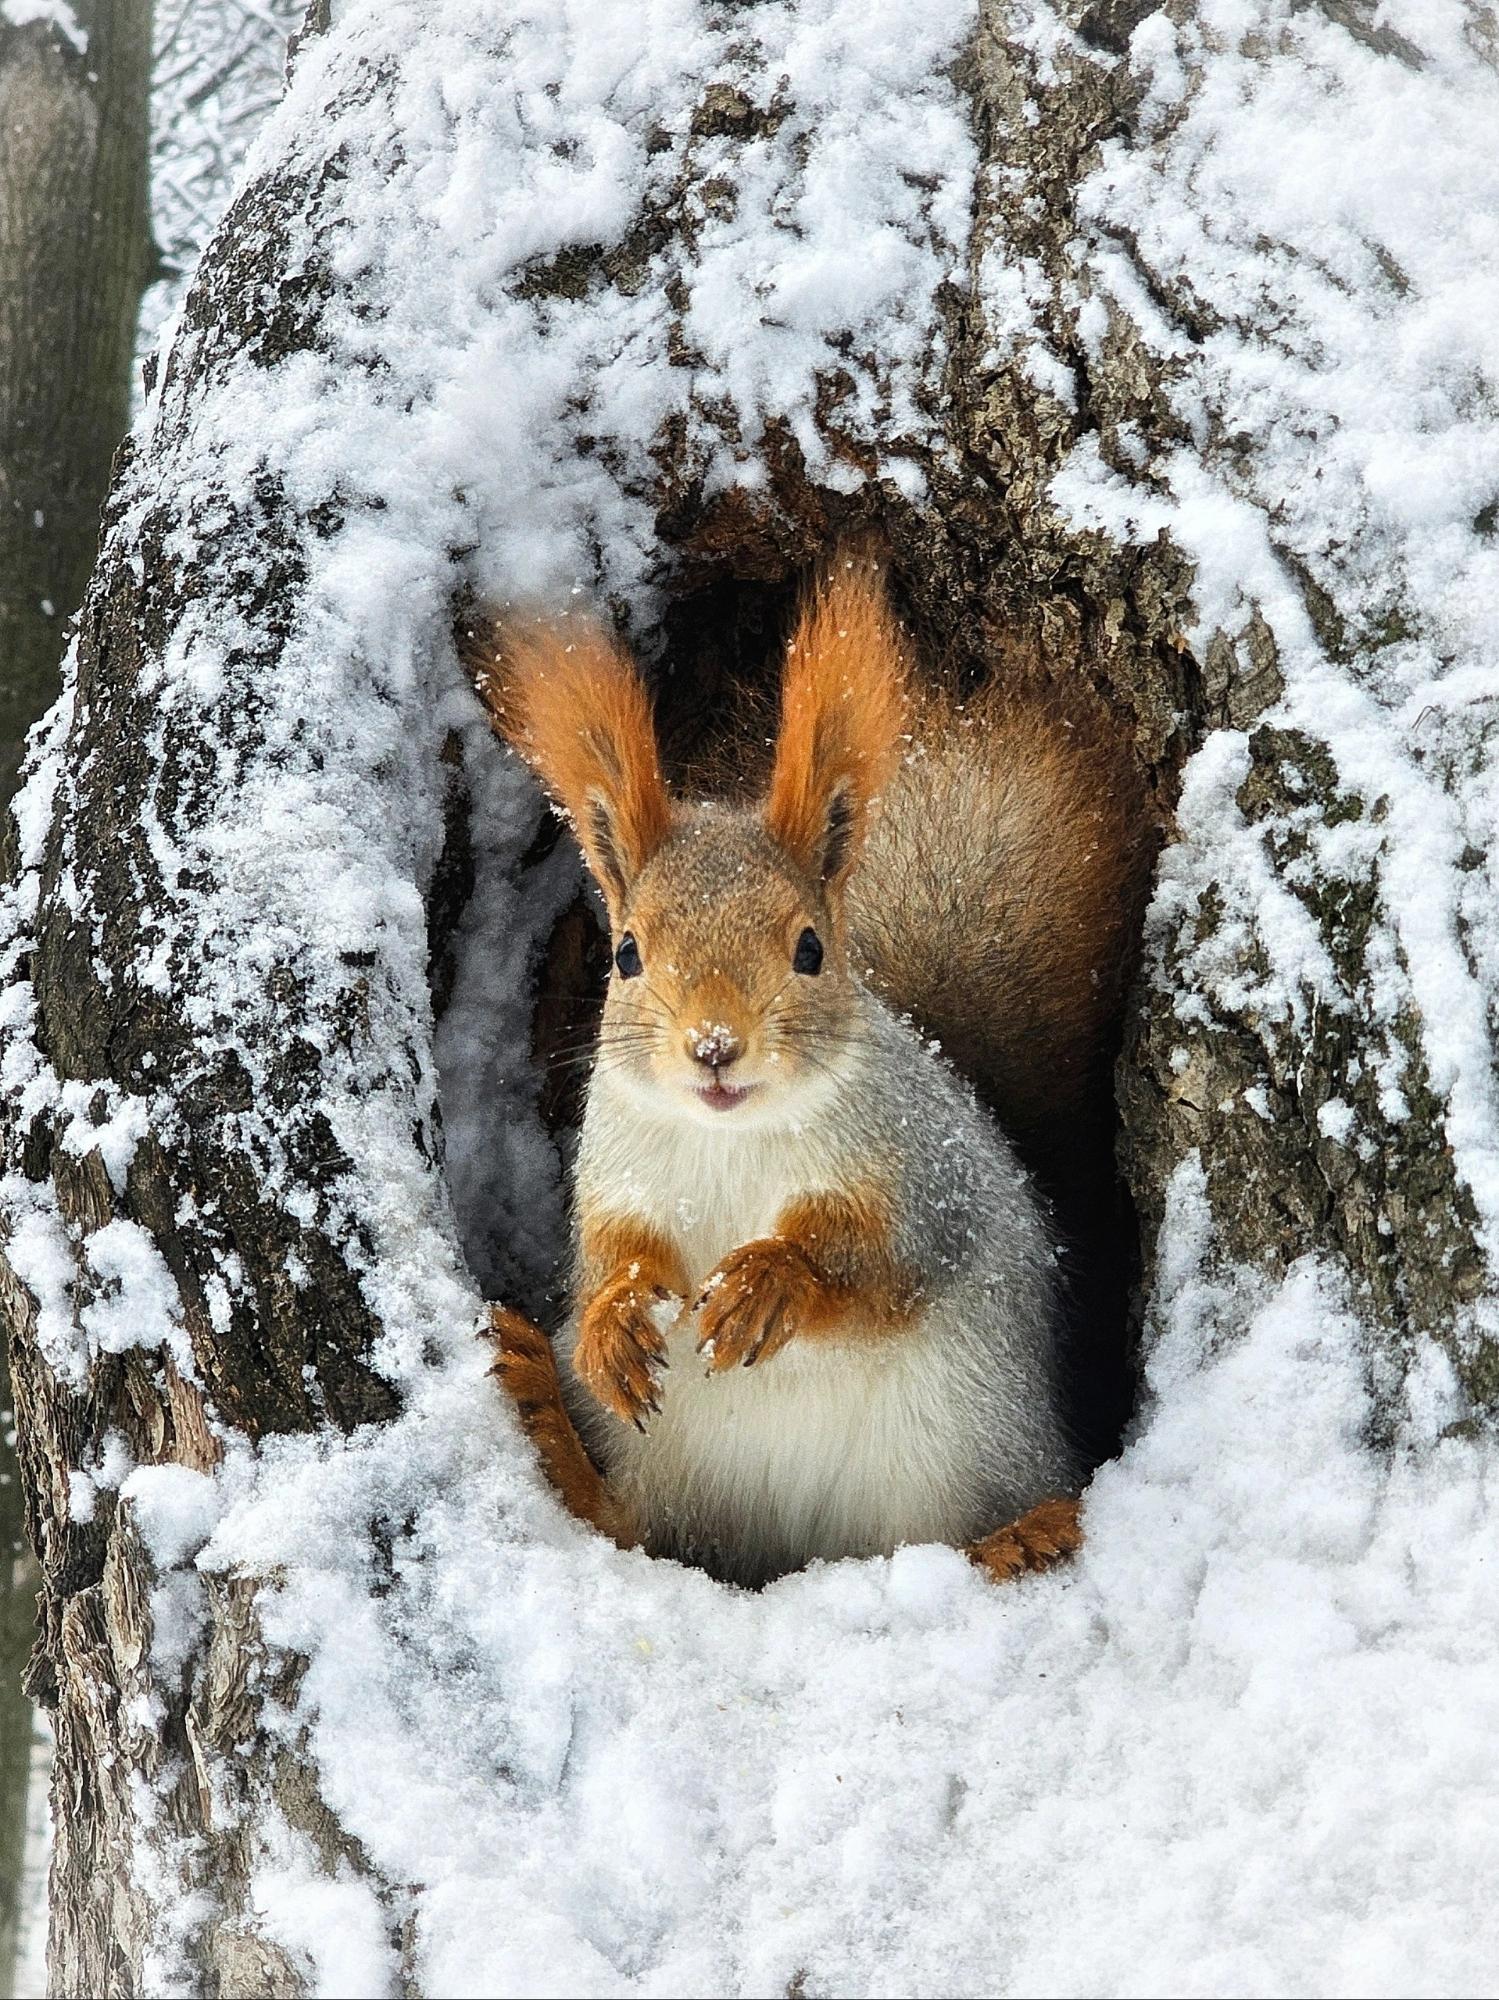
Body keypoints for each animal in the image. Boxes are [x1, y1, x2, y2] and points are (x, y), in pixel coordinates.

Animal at [469, 556, 1151, 1584]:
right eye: (625, 955)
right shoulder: (616, 1181)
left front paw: (771, 1283)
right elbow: (603, 1267)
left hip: (962, 1453)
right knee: (635, 1528)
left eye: (810, 950)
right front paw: (612, 1324)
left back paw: (1025, 1535)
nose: (715, 1048)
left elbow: (881, 1269)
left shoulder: (923, 1181)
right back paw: (545, 1409)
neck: (730, 1141)